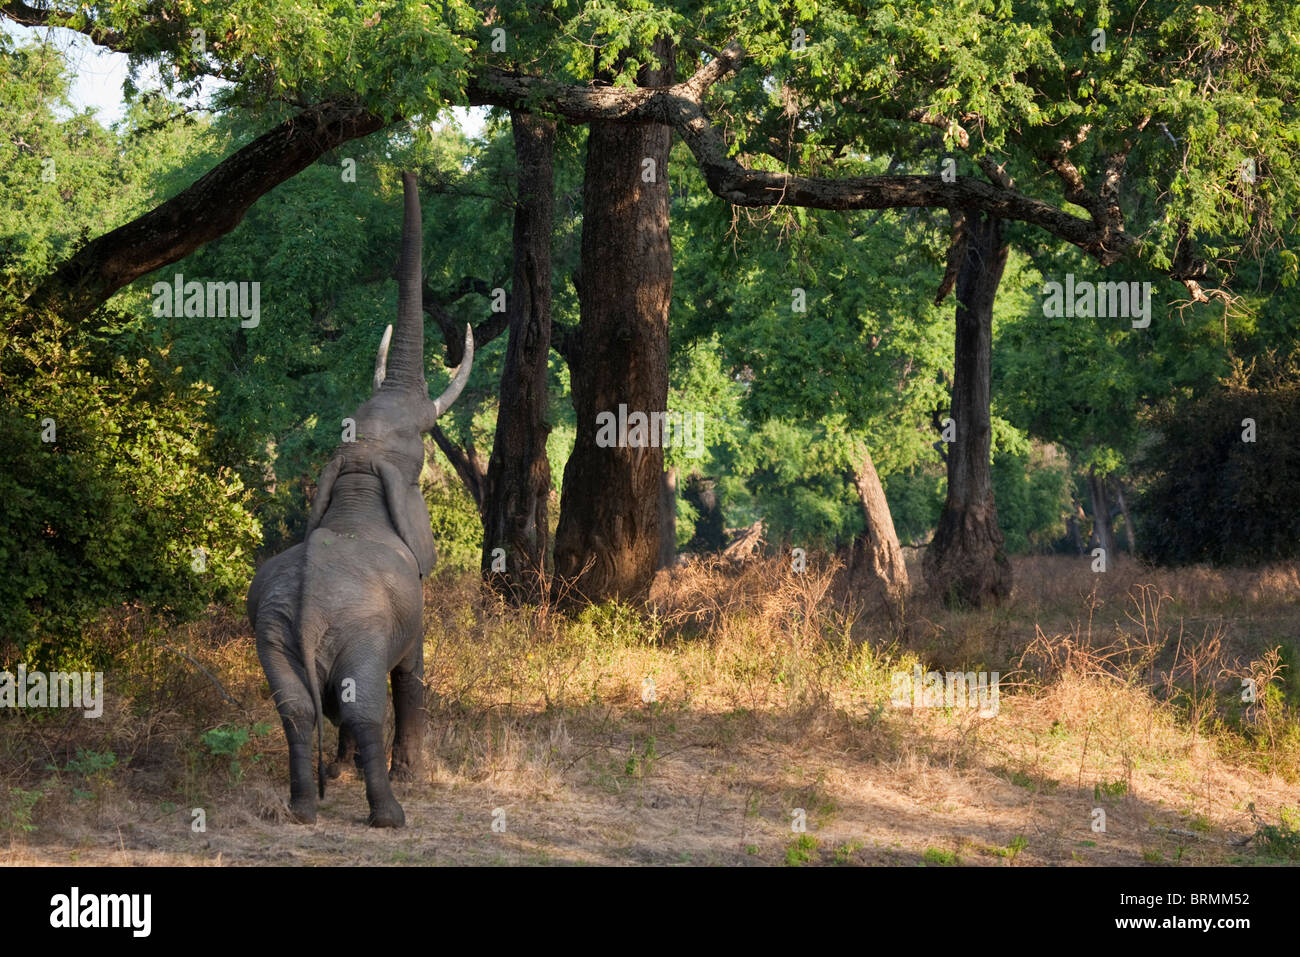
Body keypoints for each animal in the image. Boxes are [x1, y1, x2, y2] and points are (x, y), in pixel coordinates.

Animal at [247, 171, 472, 828]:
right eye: (422, 445)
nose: (410, 171)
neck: (358, 471)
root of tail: (306, 607)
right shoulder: (411, 609)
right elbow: (413, 672)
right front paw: (416, 775)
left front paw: (341, 773)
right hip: (359, 631)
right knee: (366, 703)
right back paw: (390, 814)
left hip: (272, 632)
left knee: (297, 710)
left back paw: (304, 809)